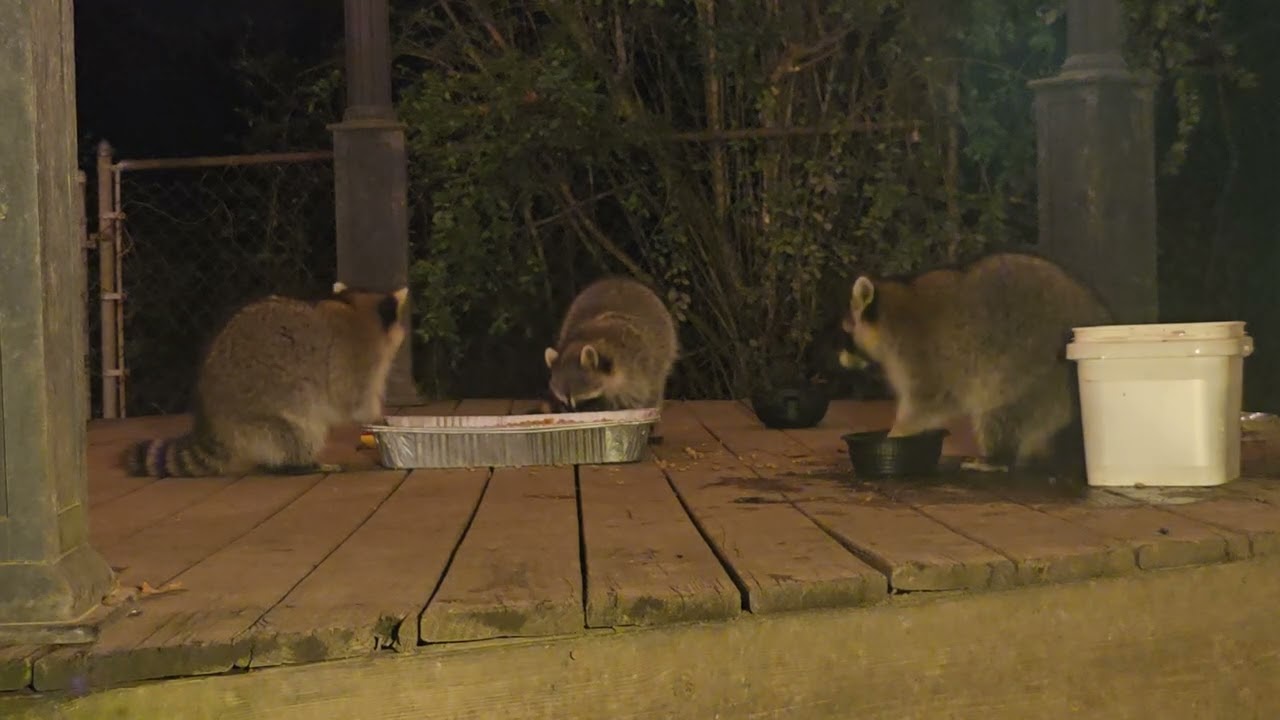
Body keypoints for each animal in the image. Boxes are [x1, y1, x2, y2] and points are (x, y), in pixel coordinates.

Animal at [123, 282, 409, 478]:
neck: (357, 310)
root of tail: (213, 423)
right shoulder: (354, 359)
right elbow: (352, 402)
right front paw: (377, 417)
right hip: (263, 418)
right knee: (300, 431)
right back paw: (302, 464)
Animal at [544, 276, 678, 412]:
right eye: (564, 403)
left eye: (584, 401)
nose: (573, 412)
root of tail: (619, 280)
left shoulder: (640, 367)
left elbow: (643, 395)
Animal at [841, 252, 1113, 475]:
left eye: (845, 333)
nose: (839, 359)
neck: (890, 312)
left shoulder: (919, 355)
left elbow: (928, 402)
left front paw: (897, 431)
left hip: (1030, 371)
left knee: (1000, 410)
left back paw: (997, 459)